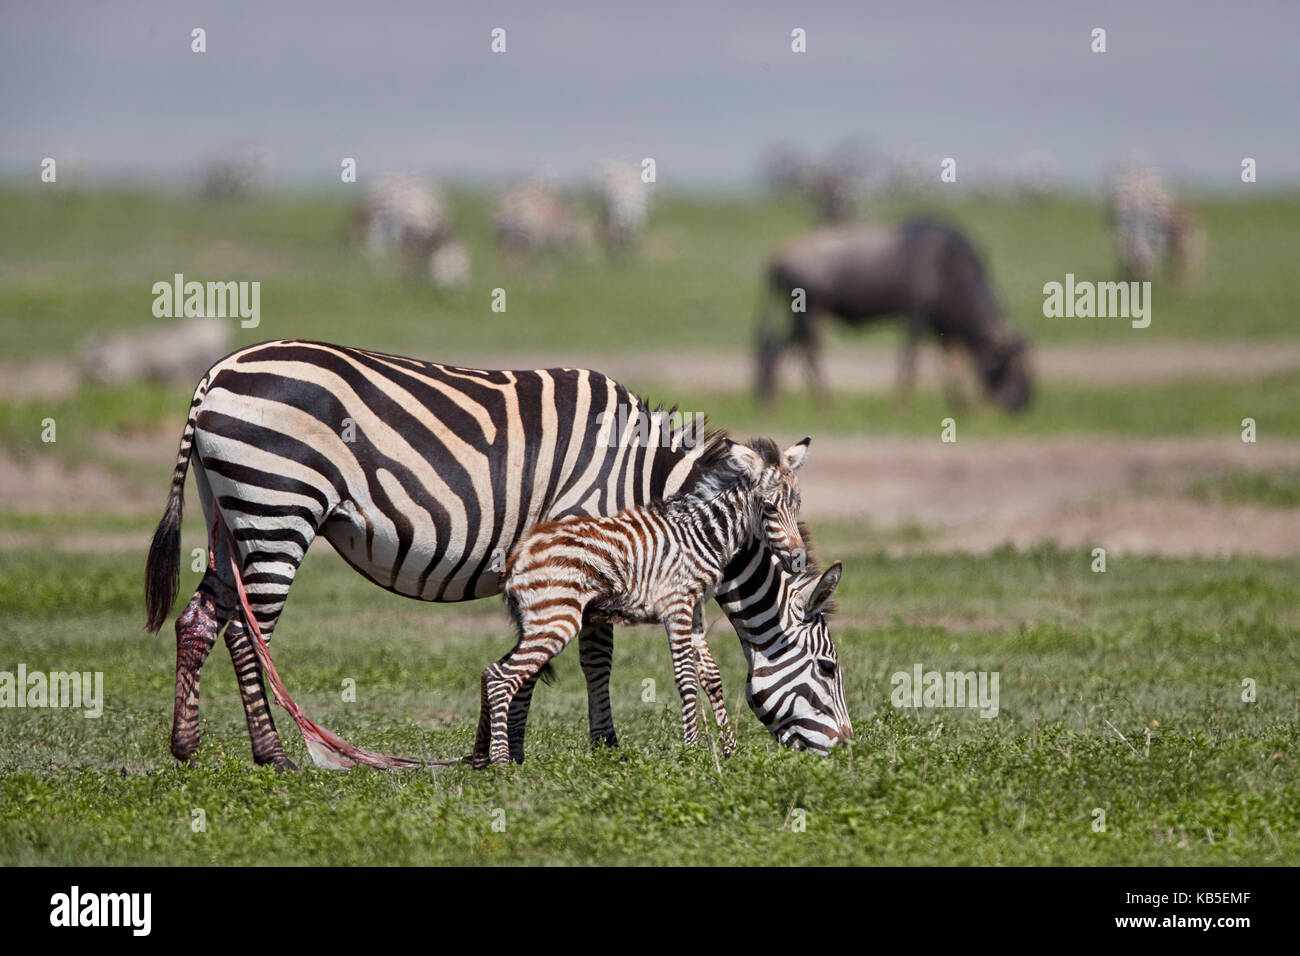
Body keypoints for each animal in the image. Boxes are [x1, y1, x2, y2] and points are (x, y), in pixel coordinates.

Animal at [480, 437, 832, 764]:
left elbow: (710, 675)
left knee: (493, 671)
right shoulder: (676, 607)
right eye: (770, 508)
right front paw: (692, 751)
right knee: (502, 678)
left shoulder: (695, 609)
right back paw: (501, 764)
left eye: (798, 505)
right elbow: (685, 676)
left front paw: (729, 749)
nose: (798, 558)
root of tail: (518, 556)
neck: (703, 535)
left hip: (540, 621)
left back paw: (488, 758)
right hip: (557, 621)